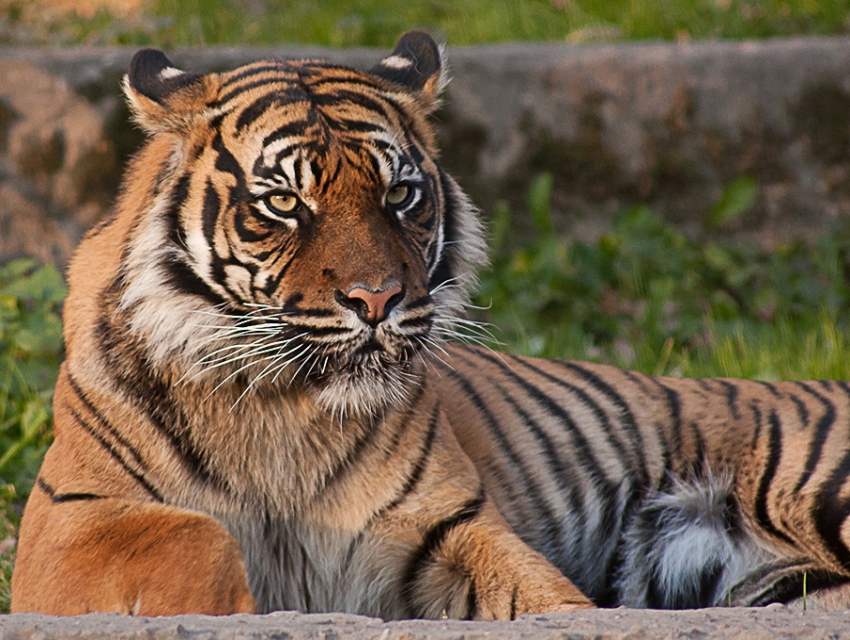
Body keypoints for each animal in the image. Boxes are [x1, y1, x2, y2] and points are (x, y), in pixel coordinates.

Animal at [10, 30, 850, 619]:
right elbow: (194, 532)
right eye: (284, 202)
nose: (377, 299)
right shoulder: (65, 525)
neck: (282, 411)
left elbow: (552, 603)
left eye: (400, 195)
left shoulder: (451, 529)